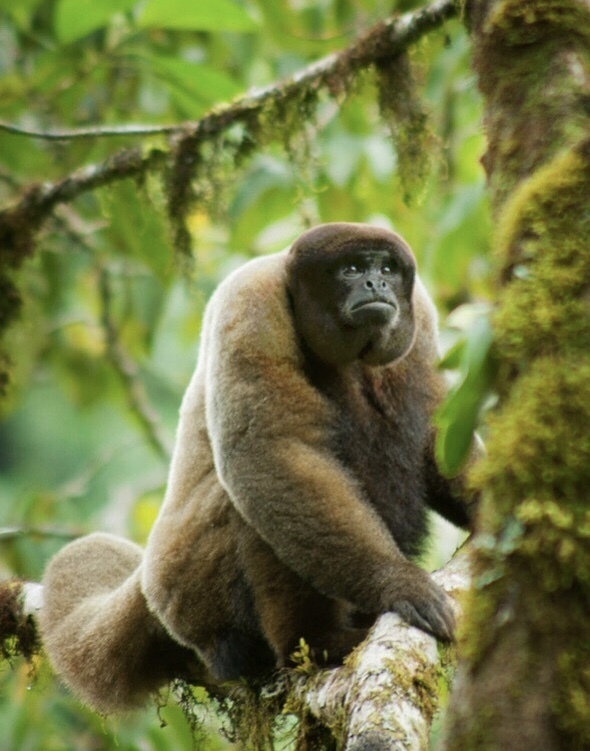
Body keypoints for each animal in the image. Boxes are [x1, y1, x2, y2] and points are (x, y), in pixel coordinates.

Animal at [39, 223, 475, 714]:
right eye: (351, 269)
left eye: (387, 269)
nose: (375, 284)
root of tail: (151, 582)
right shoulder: (252, 303)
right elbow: (271, 452)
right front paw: (398, 584)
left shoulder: (420, 313)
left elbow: (438, 436)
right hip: (195, 596)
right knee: (253, 499)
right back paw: (315, 644)